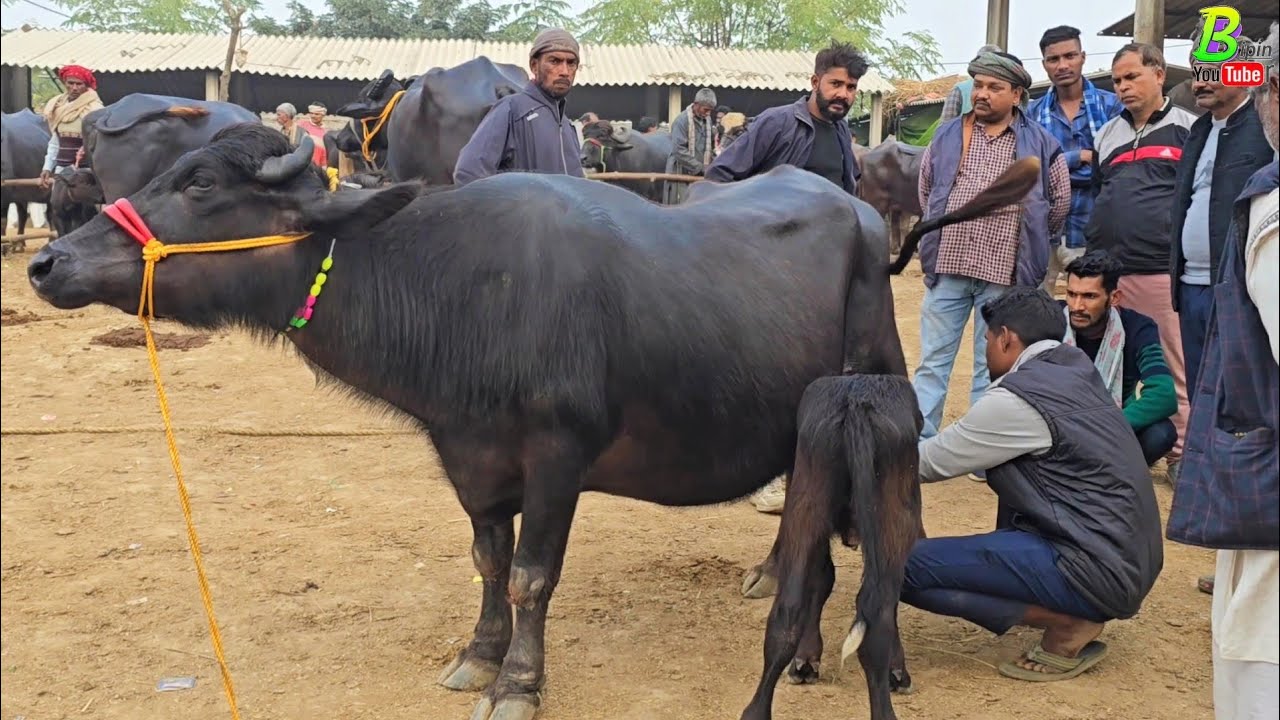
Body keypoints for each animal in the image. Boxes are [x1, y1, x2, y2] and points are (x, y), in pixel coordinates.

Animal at [28, 123, 1037, 720]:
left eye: (200, 184)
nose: (47, 262)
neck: (455, 287)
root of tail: (866, 213)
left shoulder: (558, 458)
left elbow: (531, 576)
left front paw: (519, 681)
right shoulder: (468, 458)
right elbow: (486, 562)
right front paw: (476, 657)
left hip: (879, 400)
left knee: (885, 529)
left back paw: (884, 661)